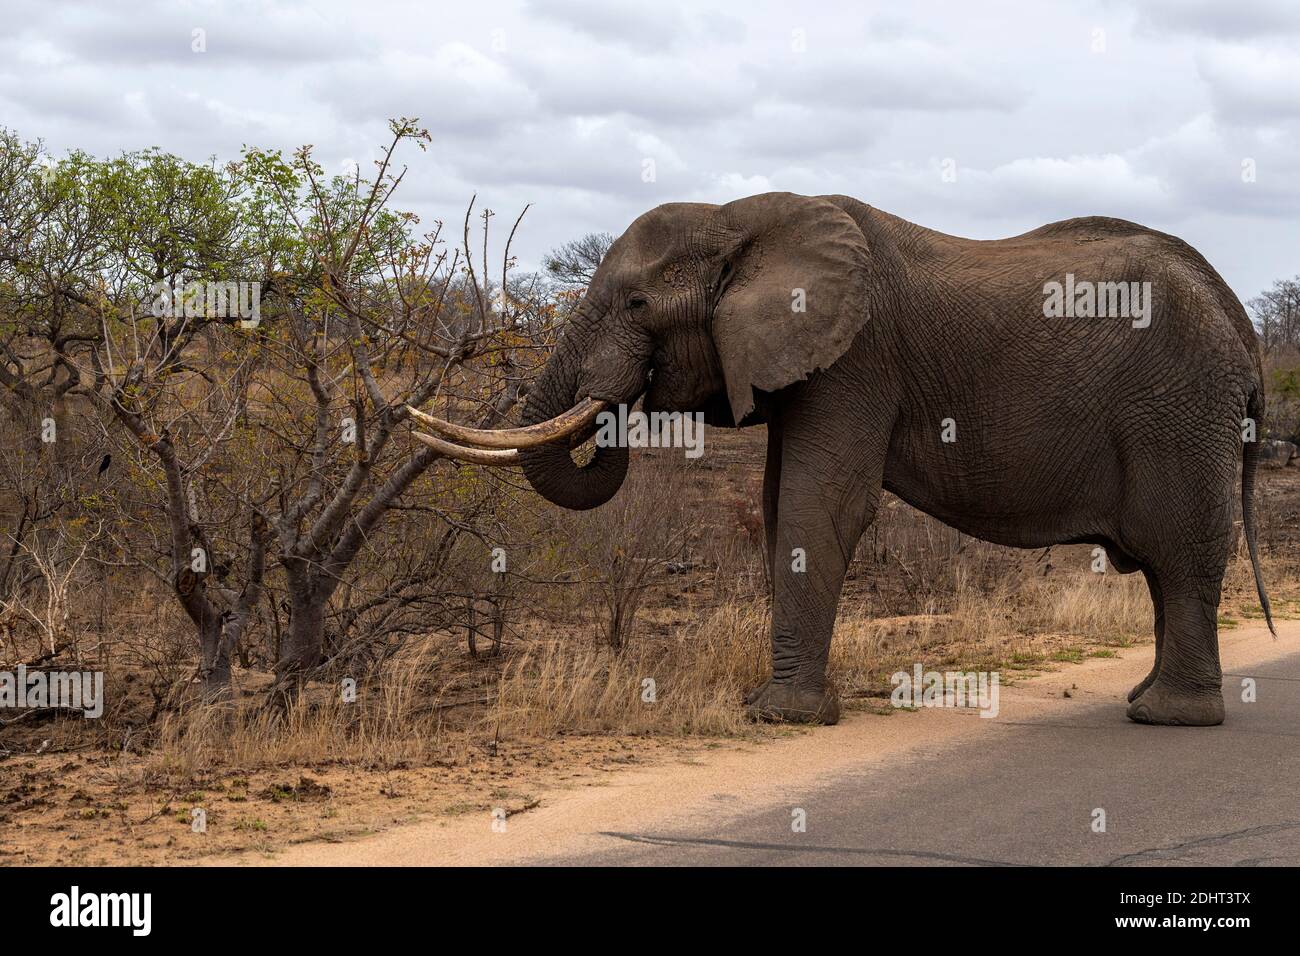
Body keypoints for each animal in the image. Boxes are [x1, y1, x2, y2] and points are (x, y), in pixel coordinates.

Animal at [409, 192, 1275, 728]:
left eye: (637, 305)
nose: (621, 399)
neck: (741, 217)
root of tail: (1238, 318)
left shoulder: (857, 360)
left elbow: (819, 505)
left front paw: (780, 716)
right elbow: (776, 505)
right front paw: (776, 706)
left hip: (1179, 411)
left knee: (1178, 556)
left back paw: (1165, 717)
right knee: (1167, 571)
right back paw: (1145, 700)